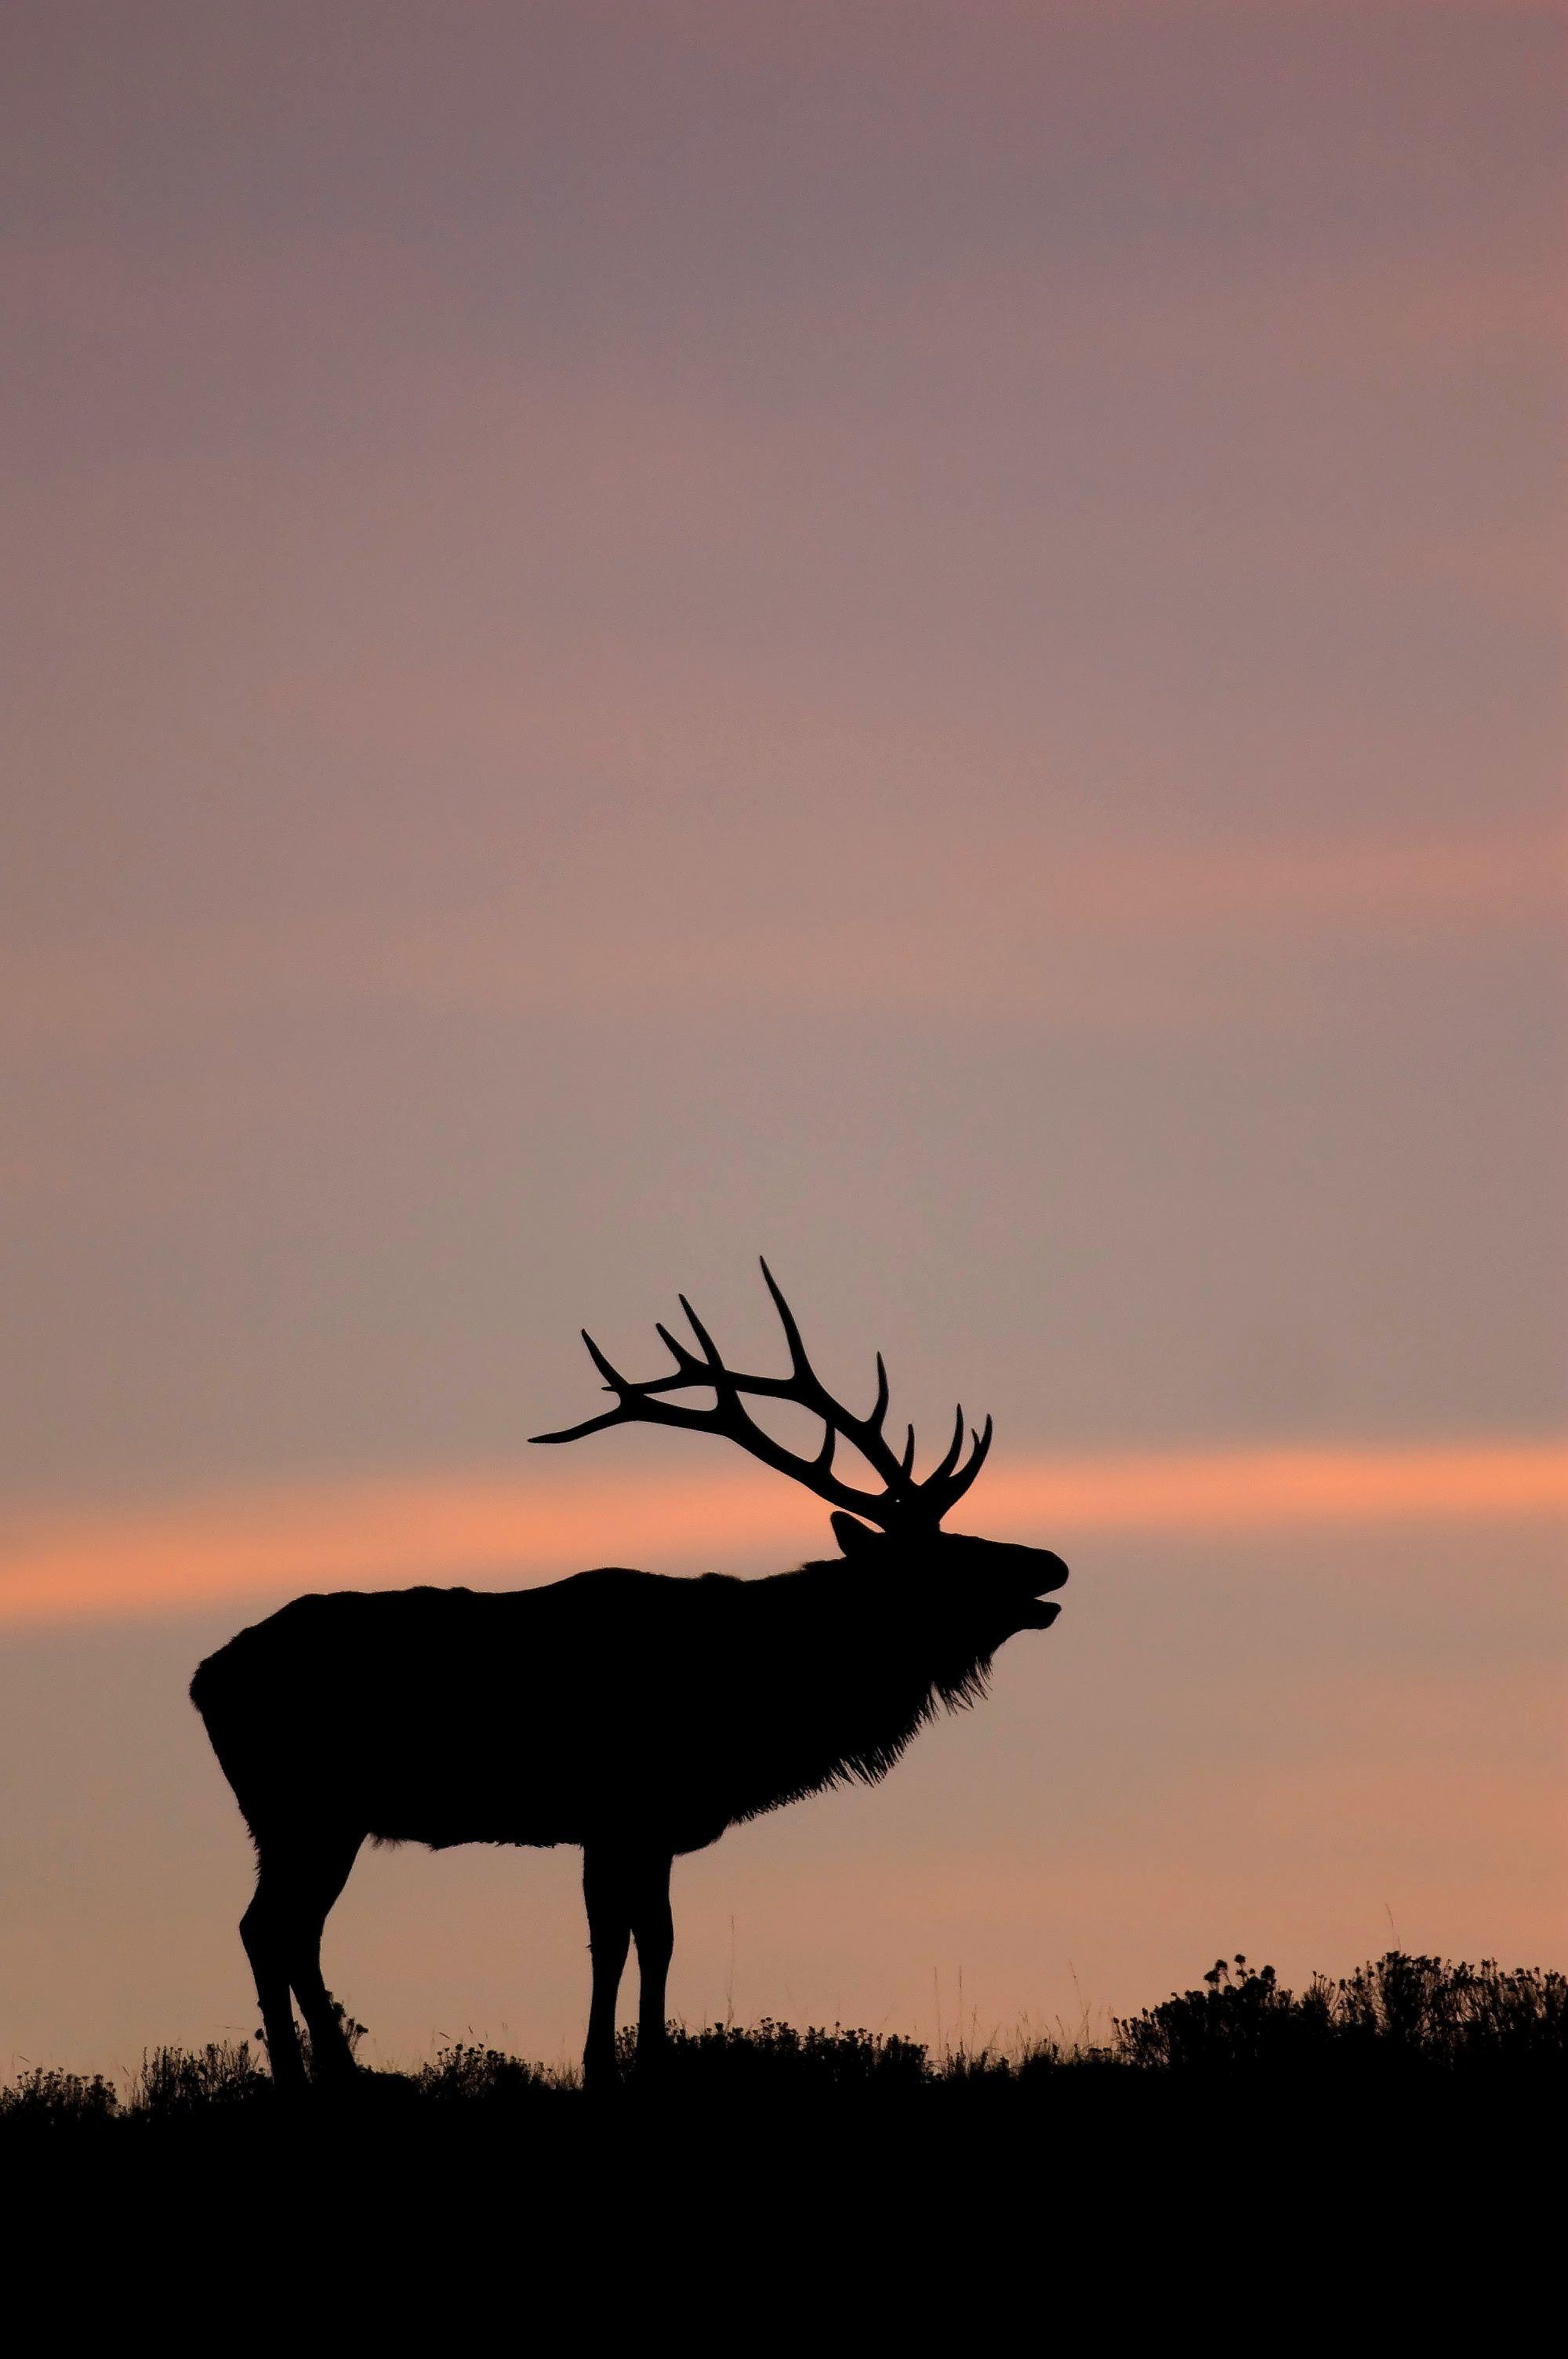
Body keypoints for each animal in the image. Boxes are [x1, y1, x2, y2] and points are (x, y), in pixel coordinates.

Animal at [190, 1263, 1068, 2091]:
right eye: (942, 1558)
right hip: (307, 1805)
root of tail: (203, 1678)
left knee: (279, 1929)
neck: (762, 1692)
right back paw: (316, 2078)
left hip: (294, 1817)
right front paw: (611, 2067)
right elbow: (616, 1939)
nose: (1049, 1561)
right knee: (273, 1928)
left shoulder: (644, 1826)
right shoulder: (620, 1811)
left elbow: (656, 1936)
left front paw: (640, 2059)